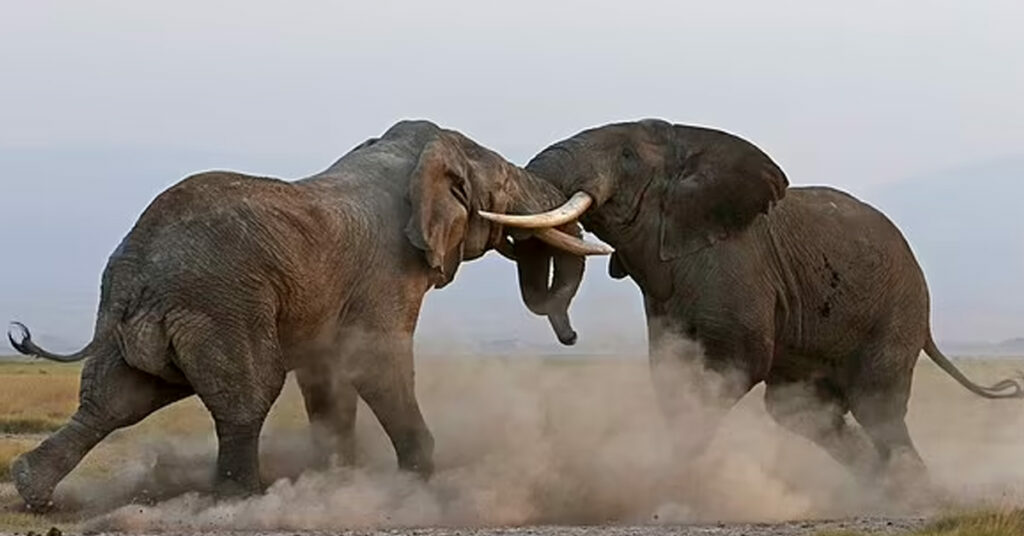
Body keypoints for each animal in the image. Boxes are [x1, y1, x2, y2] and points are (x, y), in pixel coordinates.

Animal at [6, 119, 610, 510]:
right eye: (504, 185)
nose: (572, 338)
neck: (412, 159)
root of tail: (135, 263)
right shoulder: (386, 271)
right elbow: (376, 364)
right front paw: (418, 484)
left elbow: (329, 381)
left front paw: (339, 480)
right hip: (222, 307)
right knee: (246, 398)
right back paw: (241, 502)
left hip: (151, 321)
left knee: (114, 401)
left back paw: (32, 491)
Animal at [480, 119, 1024, 488]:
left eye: (629, 157)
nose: (570, 337)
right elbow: (669, 369)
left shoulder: (736, 261)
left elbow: (736, 361)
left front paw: (673, 482)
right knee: (799, 411)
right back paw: (880, 487)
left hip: (898, 309)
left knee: (877, 405)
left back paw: (910, 491)